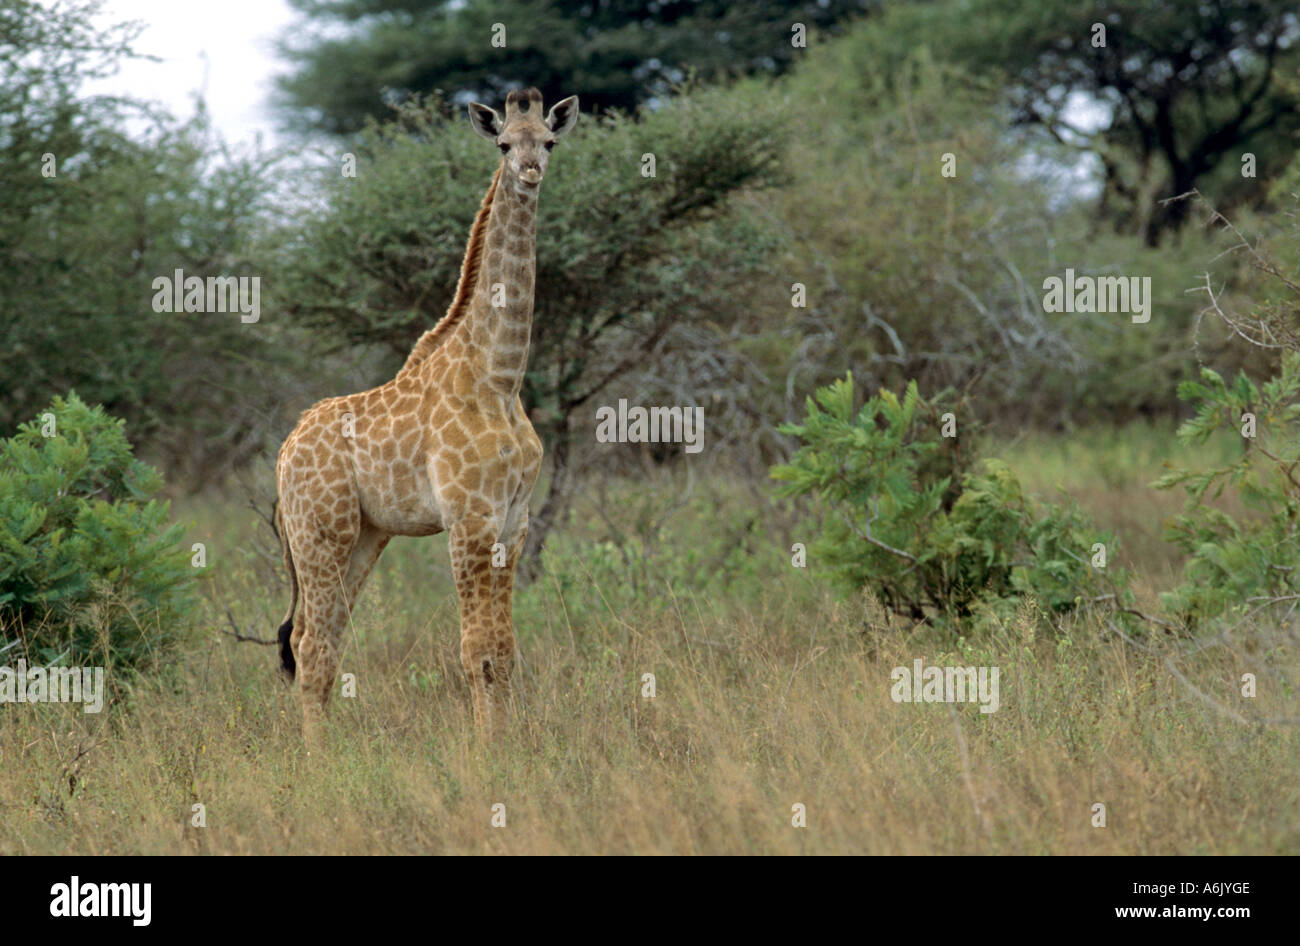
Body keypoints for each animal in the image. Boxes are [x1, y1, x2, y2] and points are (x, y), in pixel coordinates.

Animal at [273, 87, 579, 743]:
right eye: (503, 143)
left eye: (549, 140)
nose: (530, 171)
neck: (499, 377)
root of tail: (283, 454)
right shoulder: (468, 518)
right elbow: (476, 651)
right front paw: (488, 751)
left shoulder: (514, 521)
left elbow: (505, 650)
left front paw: (508, 744)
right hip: (320, 533)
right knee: (308, 645)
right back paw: (315, 762)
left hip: (366, 537)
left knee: (319, 640)